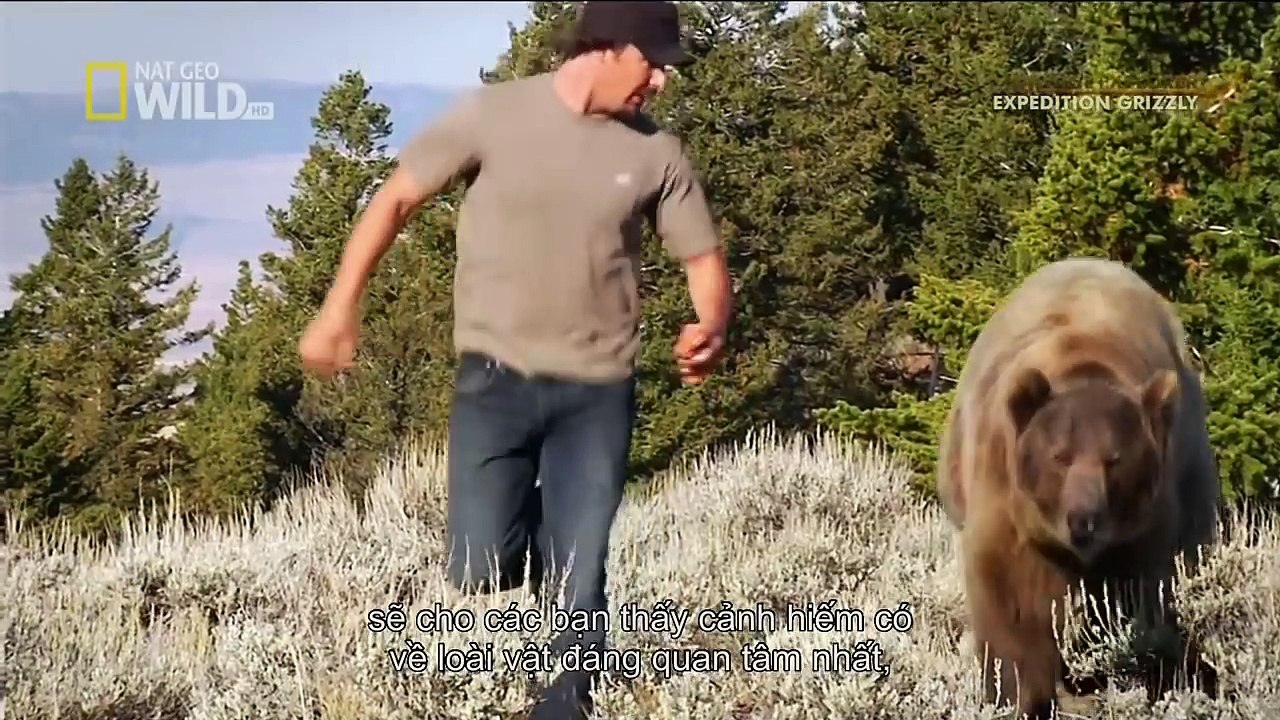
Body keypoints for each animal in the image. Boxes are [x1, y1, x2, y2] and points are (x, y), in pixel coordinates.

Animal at [935, 257, 1221, 719]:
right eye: (1060, 456)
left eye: (1115, 459)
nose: (1083, 519)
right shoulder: (1004, 496)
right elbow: (1009, 599)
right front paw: (1017, 692)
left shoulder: (1145, 525)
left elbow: (1141, 599)